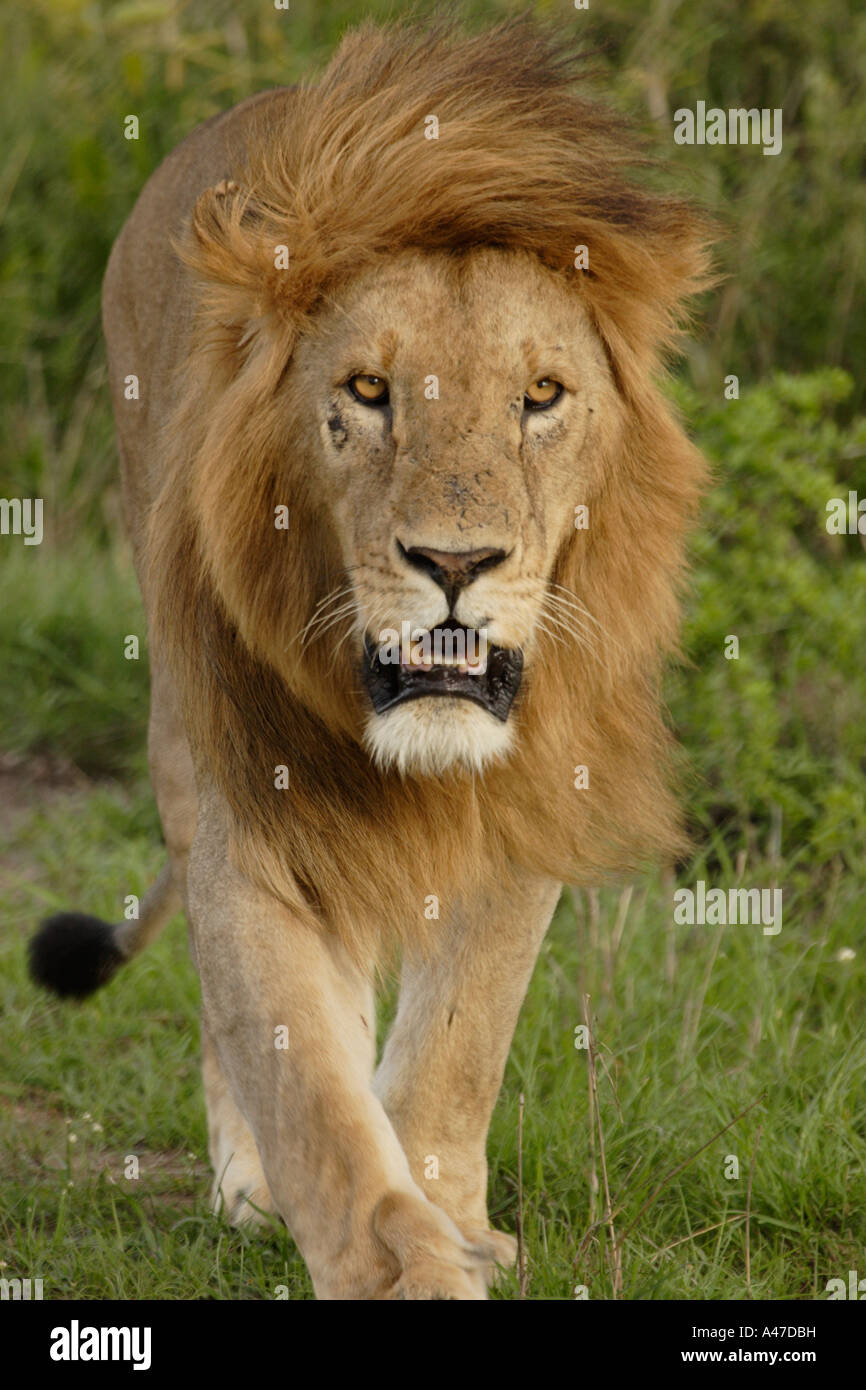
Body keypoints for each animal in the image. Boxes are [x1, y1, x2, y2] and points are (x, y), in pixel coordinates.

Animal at [27, 19, 712, 1299]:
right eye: (365, 391)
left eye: (540, 396)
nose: (454, 560)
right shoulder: (251, 814)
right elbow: (310, 1089)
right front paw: (398, 1262)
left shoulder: (526, 803)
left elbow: (457, 1046)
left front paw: (454, 1215)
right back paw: (248, 1185)